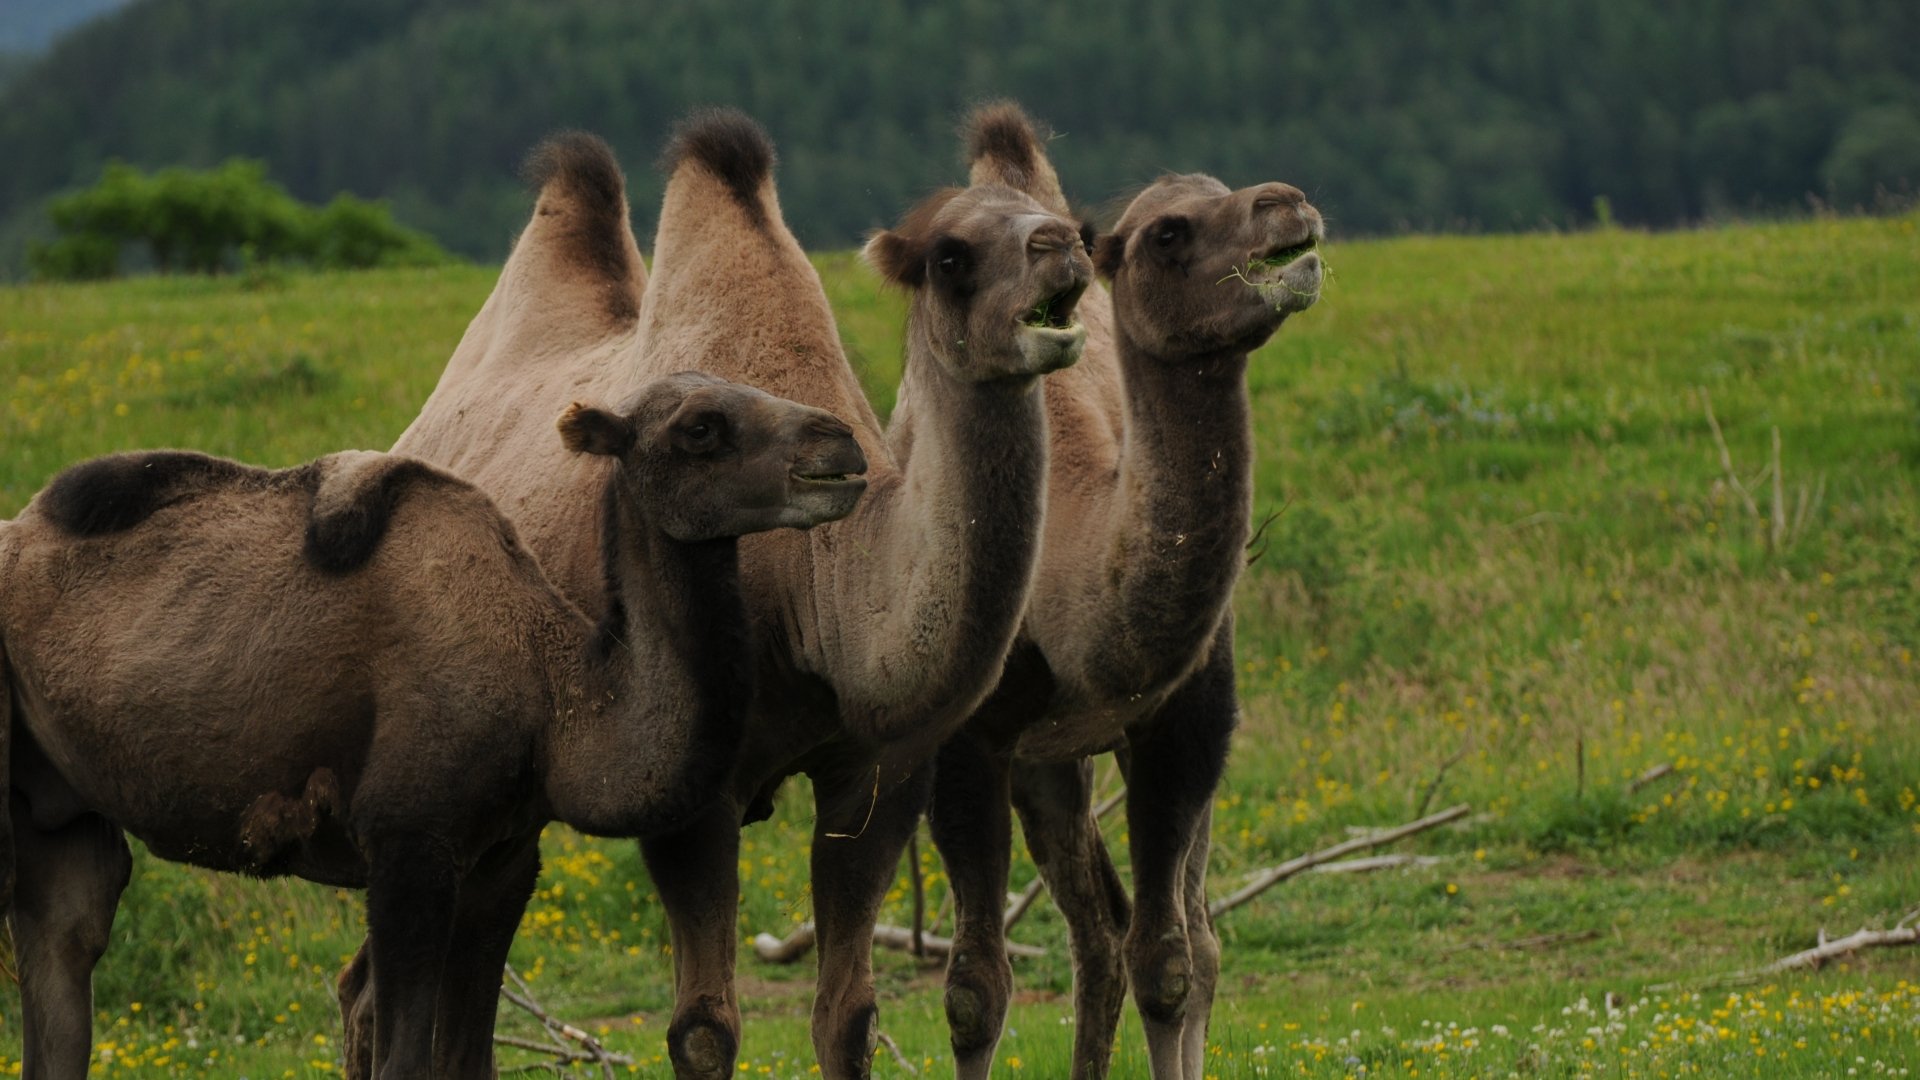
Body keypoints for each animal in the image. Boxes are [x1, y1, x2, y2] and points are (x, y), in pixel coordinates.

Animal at [0, 371, 866, 1080]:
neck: (549, 695)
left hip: (62, 820)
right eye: (701, 427)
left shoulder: (503, 862)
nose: (844, 445)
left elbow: (468, 1061)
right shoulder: (409, 845)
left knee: (65, 958)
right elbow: (407, 1061)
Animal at [337, 113, 1084, 1078]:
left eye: (1058, 216)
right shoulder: (693, 795)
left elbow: (848, 1011)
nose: (1063, 247)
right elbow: (702, 1027)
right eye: (951, 255)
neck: (817, 593)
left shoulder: (870, 779)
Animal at [914, 104, 1326, 1080]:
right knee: (1093, 932)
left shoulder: (1184, 724)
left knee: (1156, 935)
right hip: (1046, 764)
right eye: (1168, 232)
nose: (1286, 200)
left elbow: (1172, 962)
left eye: (1223, 188)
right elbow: (973, 991)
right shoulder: (972, 742)